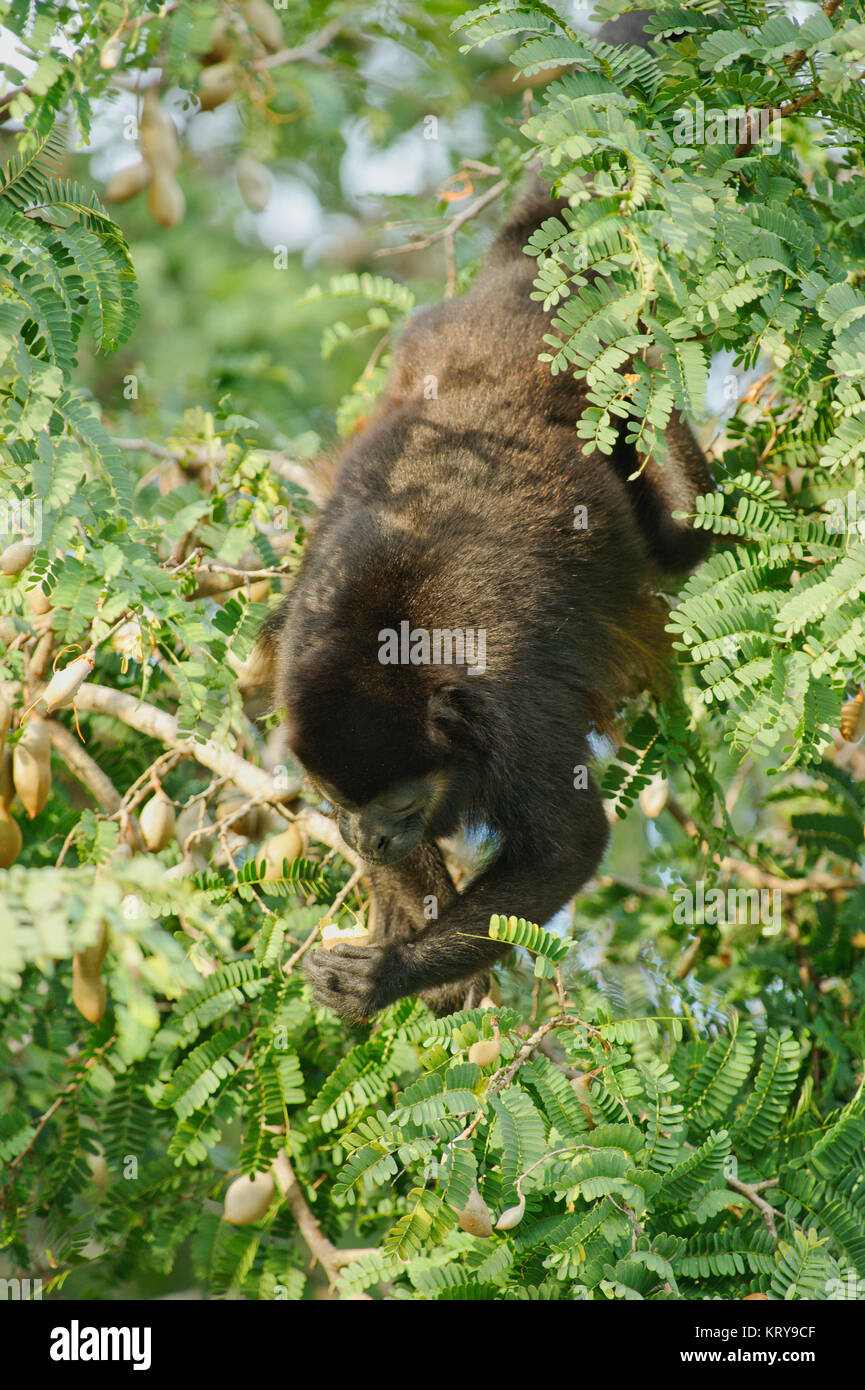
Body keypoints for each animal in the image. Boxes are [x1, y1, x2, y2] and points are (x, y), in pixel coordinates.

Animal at [262, 25, 714, 1022]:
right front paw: (415, 938)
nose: (368, 842)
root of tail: (516, 283)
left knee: (685, 533)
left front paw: (392, 971)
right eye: (340, 807)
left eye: (398, 807)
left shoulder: (511, 711)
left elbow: (569, 842)